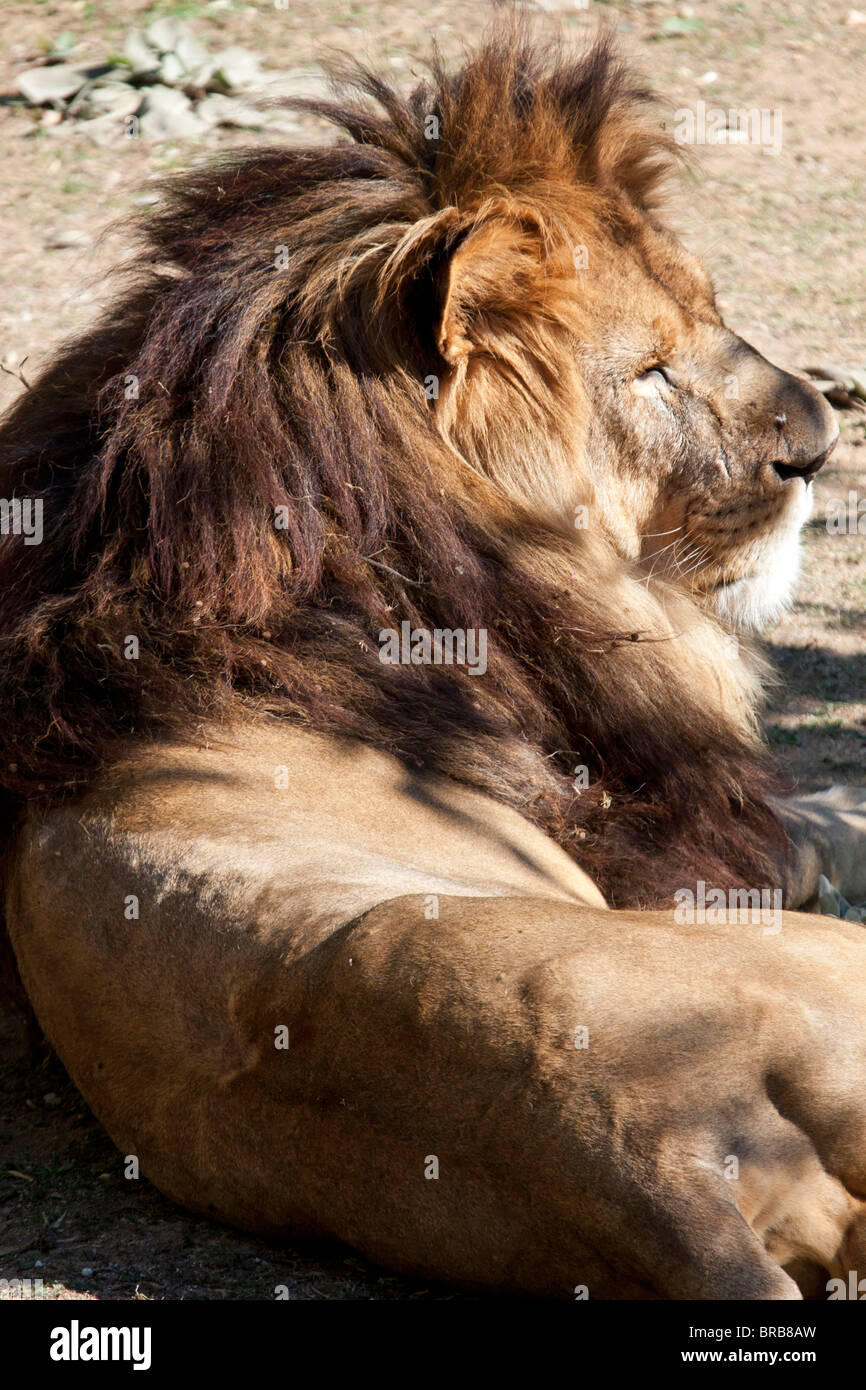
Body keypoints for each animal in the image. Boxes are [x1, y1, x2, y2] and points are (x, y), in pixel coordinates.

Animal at [2, 26, 866, 1299]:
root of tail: (641, 1157)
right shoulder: (682, 839)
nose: (817, 446)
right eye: (650, 372)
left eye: (715, 314)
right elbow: (811, 820)